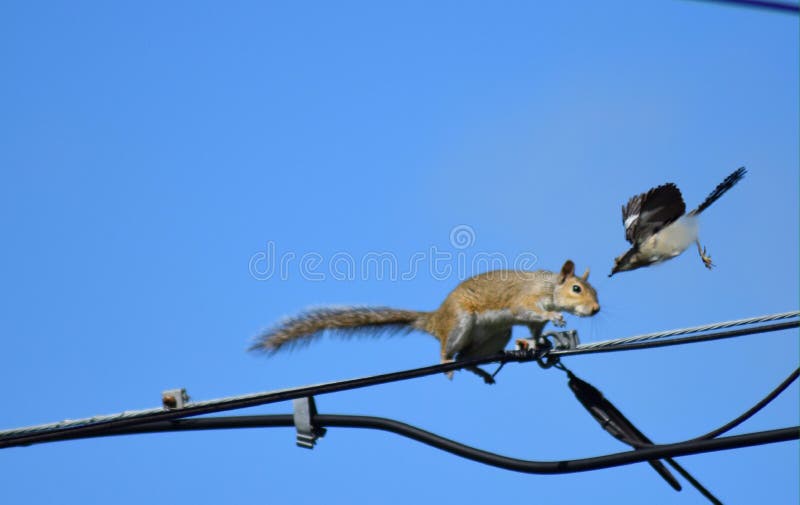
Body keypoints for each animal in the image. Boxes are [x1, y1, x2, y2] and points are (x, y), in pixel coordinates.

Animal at [250, 260, 600, 383]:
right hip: (460, 323)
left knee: (465, 357)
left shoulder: (526, 317)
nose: (596, 309)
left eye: (594, 290)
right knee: (448, 353)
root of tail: (436, 320)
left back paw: (481, 371)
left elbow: (535, 329)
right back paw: (447, 366)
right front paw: (554, 316)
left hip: (495, 335)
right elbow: (532, 312)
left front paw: (538, 342)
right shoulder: (523, 301)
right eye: (577, 289)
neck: (547, 286)